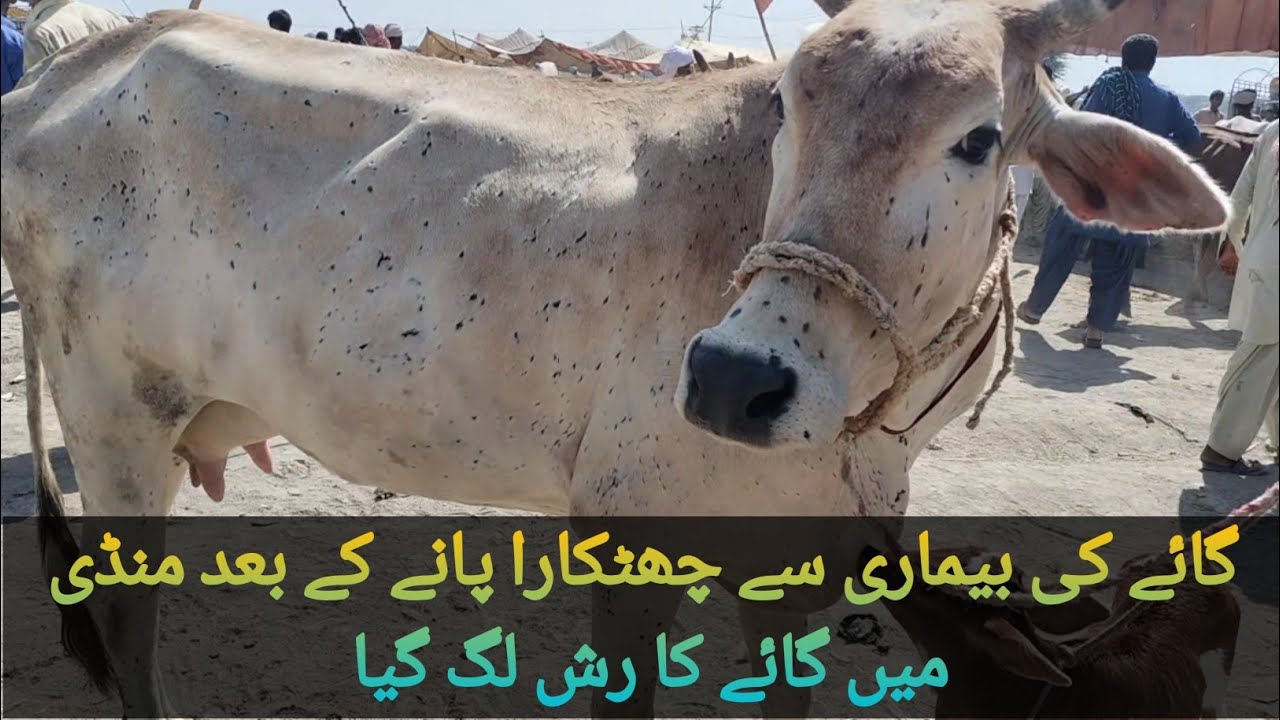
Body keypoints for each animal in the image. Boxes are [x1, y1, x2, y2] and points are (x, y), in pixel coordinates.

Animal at [1, 0, 1228, 716]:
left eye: (977, 141)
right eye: (783, 111)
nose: (733, 378)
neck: (868, 435)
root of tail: (67, 71)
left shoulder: (798, 577)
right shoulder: (628, 538)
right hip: (115, 422)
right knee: (126, 623)